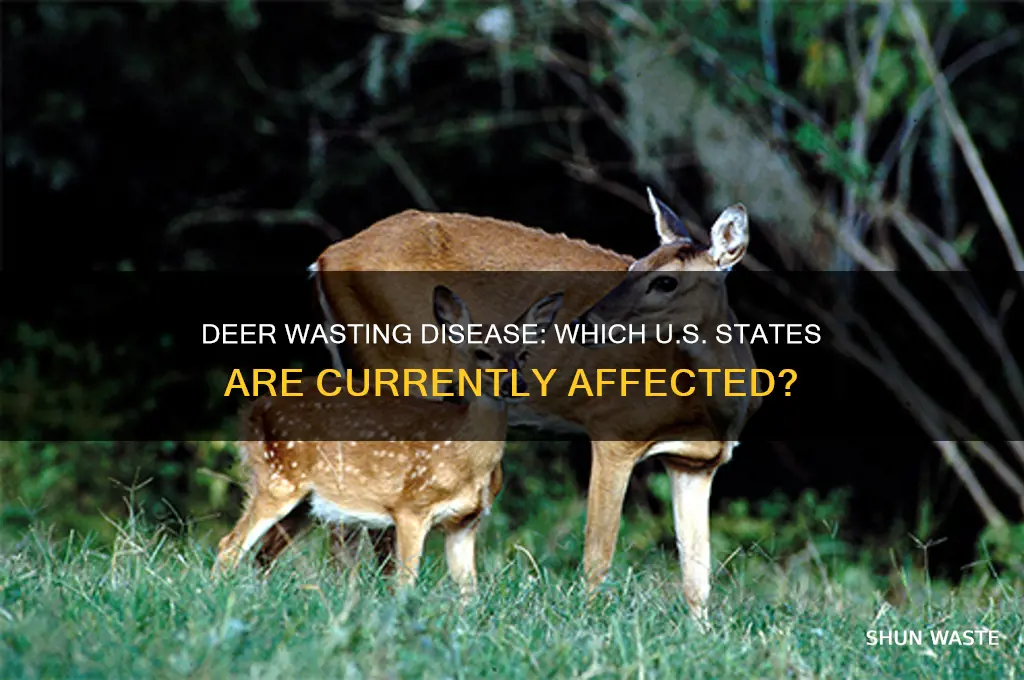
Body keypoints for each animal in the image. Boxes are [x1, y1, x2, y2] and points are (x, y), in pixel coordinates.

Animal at [214, 285, 564, 595]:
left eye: (524, 354)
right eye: (482, 352)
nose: (515, 385)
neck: (465, 461)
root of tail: (253, 408)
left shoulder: (465, 523)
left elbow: (469, 592)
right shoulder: (410, 508)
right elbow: (405, 581)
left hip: (304, 504)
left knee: (262, 555)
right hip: (279, 480)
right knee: (229, 547)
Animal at [262, 189, 758, 619]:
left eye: (666, 279)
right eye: (633, 266)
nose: (586, 322)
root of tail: (325, 259)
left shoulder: (696, 462)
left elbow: (697, 573)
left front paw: (701, 636)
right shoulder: (614, 430)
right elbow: (599, 553)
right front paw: (588, 622)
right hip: (398, 371)